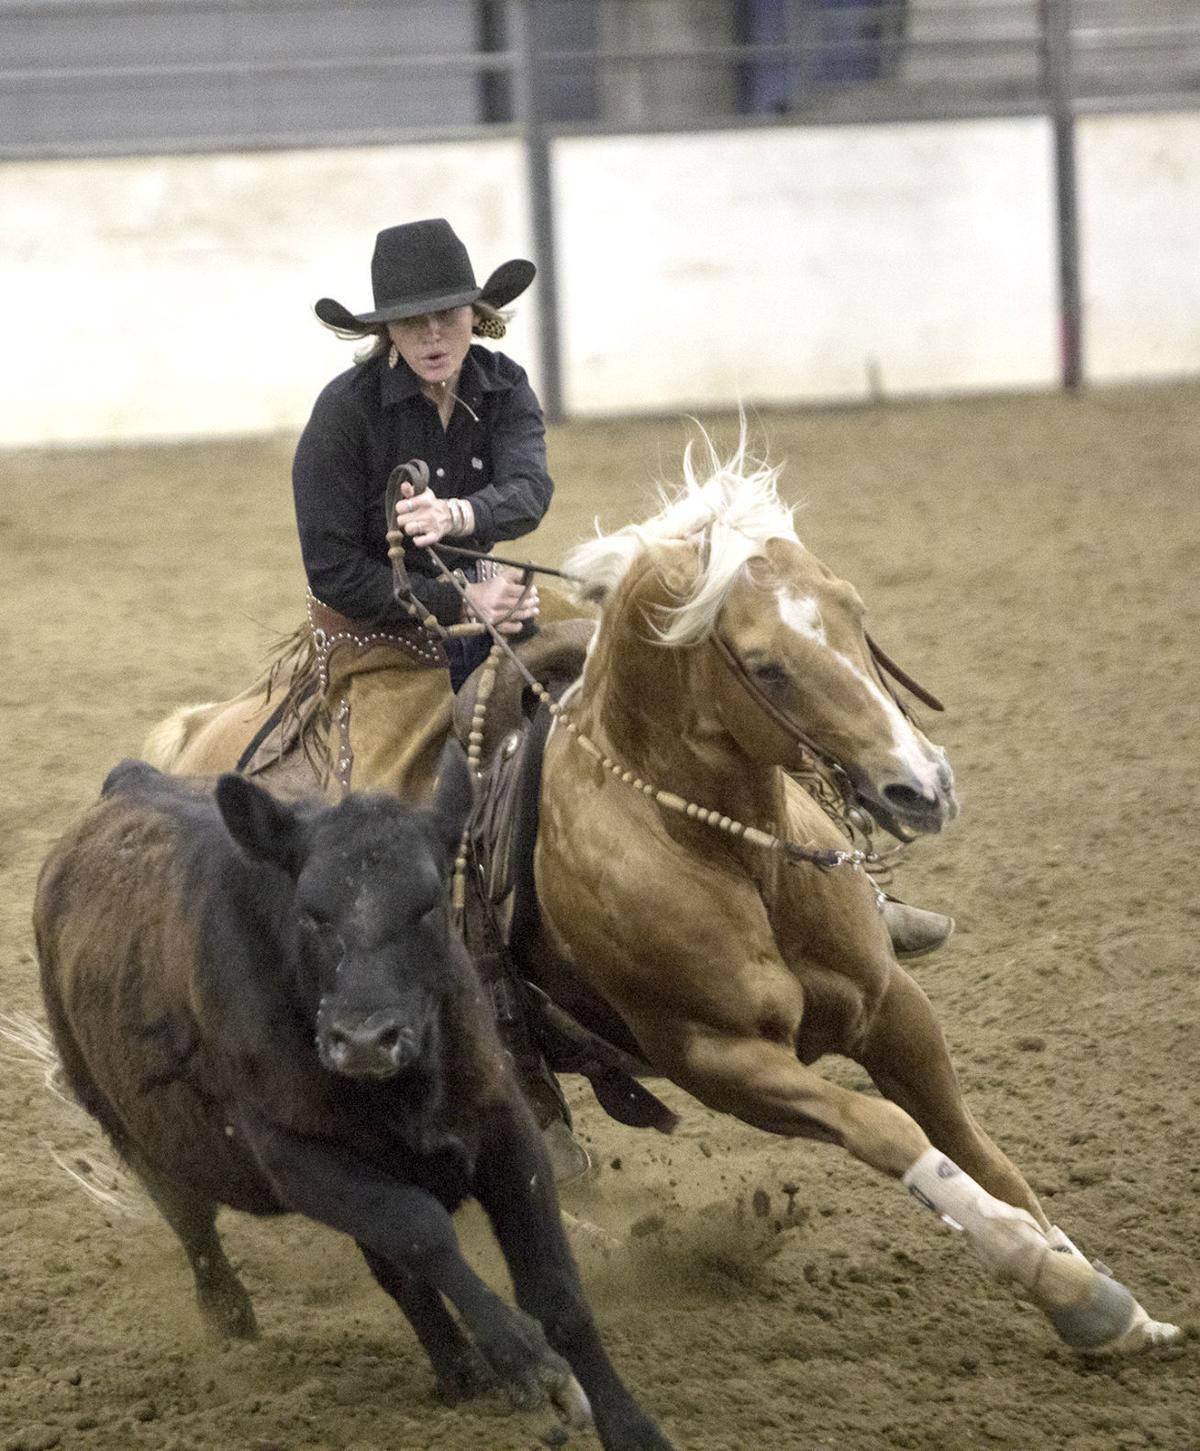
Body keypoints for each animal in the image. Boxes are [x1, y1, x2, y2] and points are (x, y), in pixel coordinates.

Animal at [34, 752, 673, 1451]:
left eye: (428, 905)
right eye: (311, 913)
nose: (365, 1039)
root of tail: (130, 779)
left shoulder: (505, 1127)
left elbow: (555, 1290)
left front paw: (632, 1427)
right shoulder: (296, 1158)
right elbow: (423, 1231)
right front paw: (531, 1366)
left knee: (396, 1276)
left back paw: (458, 1371)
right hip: (137, 1137)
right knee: (198, 1232)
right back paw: (231, 1321)